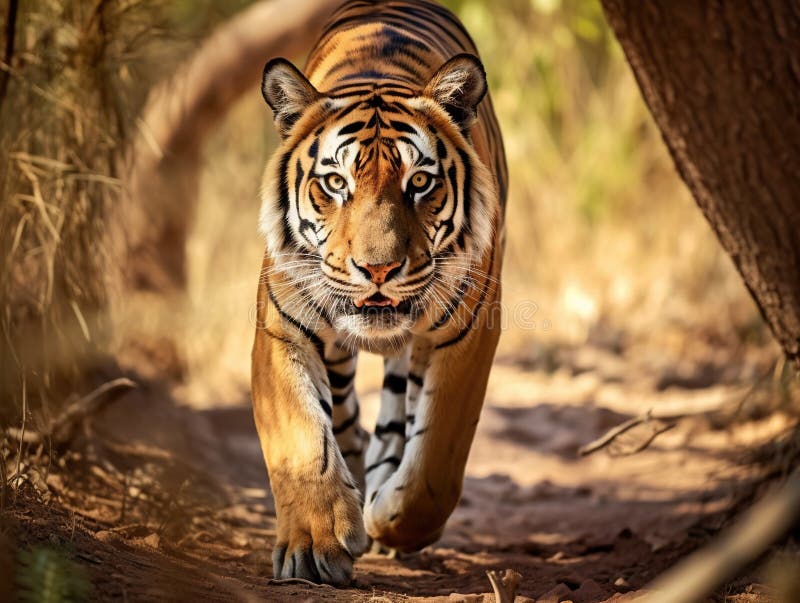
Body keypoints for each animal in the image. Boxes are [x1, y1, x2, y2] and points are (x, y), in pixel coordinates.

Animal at [251, 0, 507, 586]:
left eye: (420, 182)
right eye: (336, 184)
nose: (379, 269)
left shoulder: (470, 331)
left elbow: (435, 465)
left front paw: (392, 521)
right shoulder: (280, 328)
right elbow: (301, 438)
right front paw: (314, 547)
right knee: (347, 416)